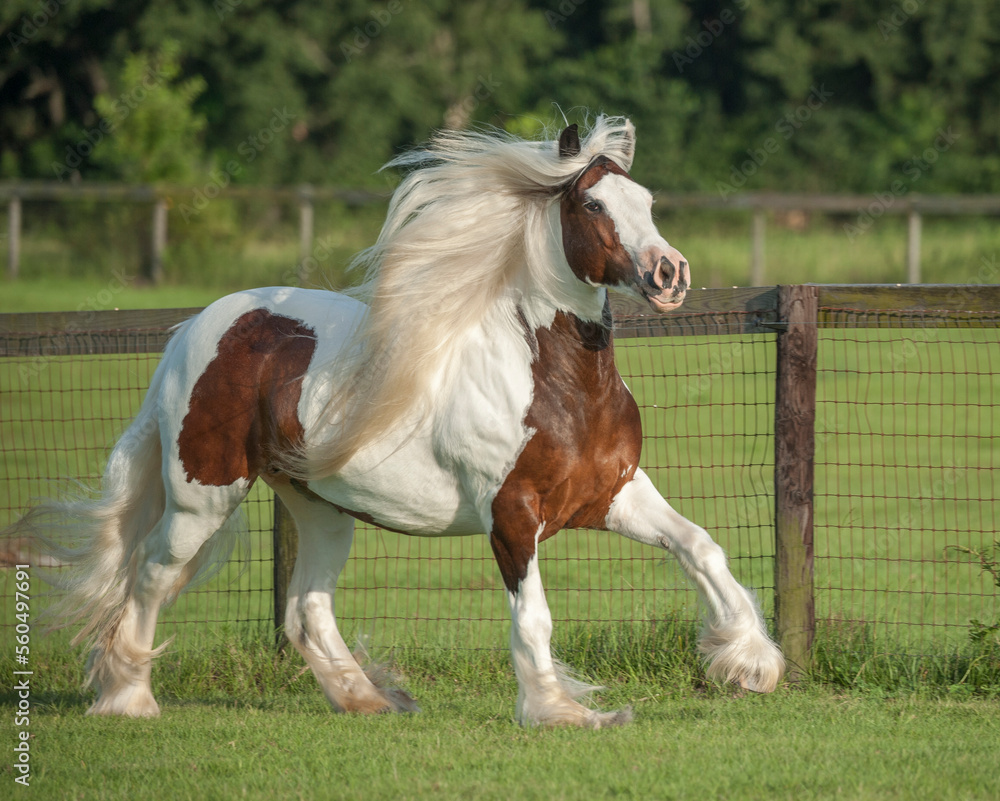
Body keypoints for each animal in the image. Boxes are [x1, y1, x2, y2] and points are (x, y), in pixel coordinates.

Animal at [11, 116, 784, 728]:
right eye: (592, 201)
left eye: (646, 200)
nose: (669, 274)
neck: (559, 387)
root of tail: (192, 330)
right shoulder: (512, 513)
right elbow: (534, 614)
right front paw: (561, 711)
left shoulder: (613, 493)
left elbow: (701, 548)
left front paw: (751, 664)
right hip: (202, 495)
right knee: (150, 575)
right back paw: (128, 698)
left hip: (319, 508)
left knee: (305, 608)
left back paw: (369, 700)